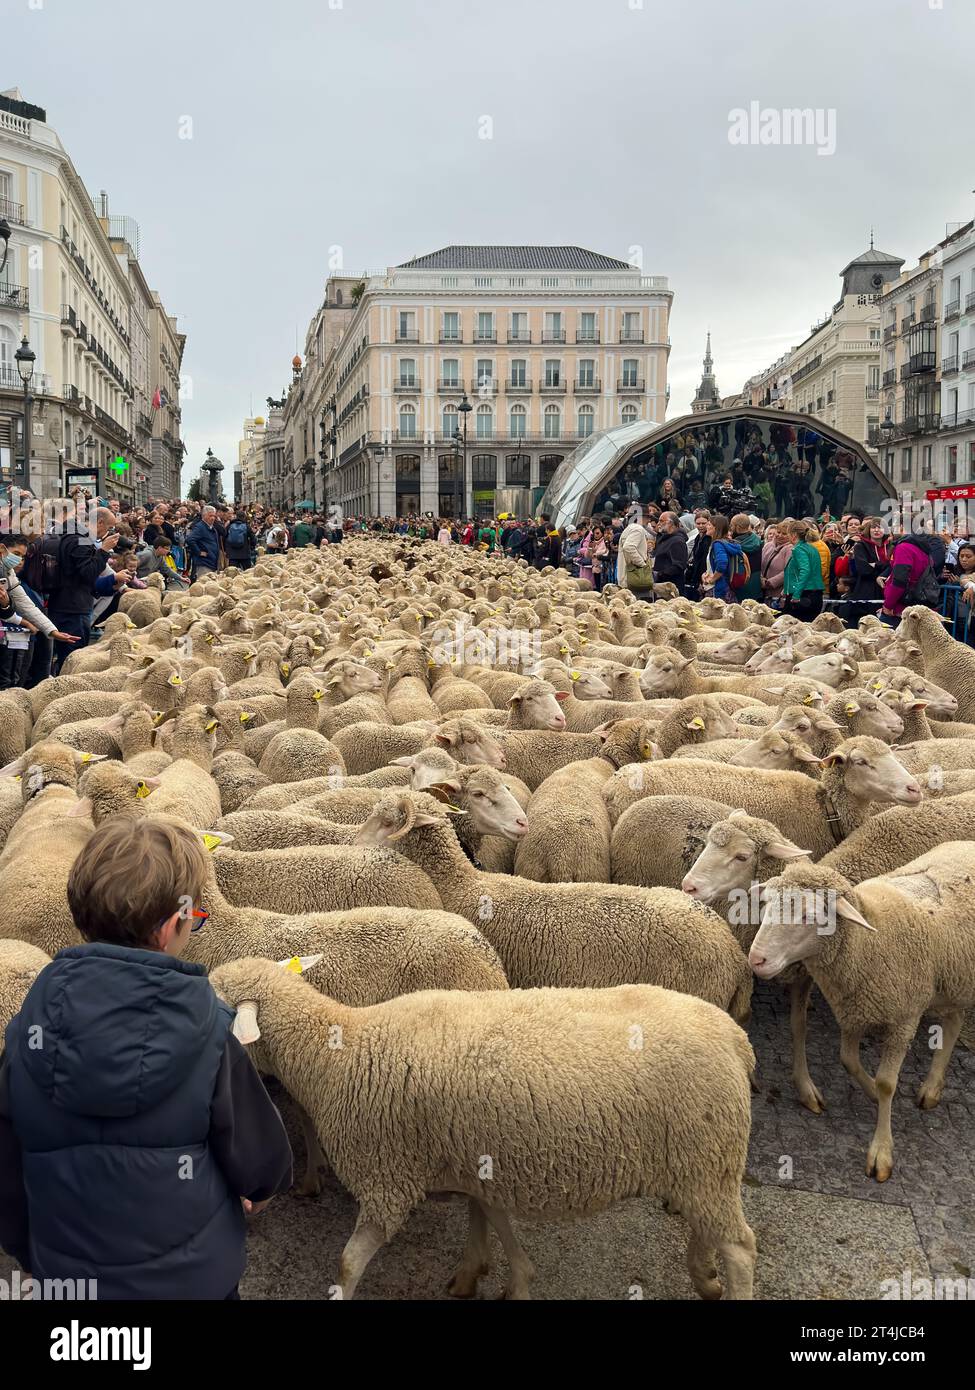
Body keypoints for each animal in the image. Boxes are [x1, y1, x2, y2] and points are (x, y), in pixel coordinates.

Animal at [212, 957, 757, 1299]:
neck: (337, 1052)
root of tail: (734, 1037)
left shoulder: (388, 1180)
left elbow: (348, 1262)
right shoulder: (474, 1155)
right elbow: (489, 1216)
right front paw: (495, 1276)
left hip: (707, 1156)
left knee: (740, 1247)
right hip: (701, 1161)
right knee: (709, 1227)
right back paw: (704, 1275)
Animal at [748, 846, 975, 1181]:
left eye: (809, 915)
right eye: (767, 906)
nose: (756, 959)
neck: (866, 941)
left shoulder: (904, 1020)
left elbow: (886, 1083)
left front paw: (881, 1151)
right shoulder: (853, 1011)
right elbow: (848, 1060)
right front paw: (870, 1093)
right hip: (953, 977)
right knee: (954, 1020)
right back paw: (932, 1087)